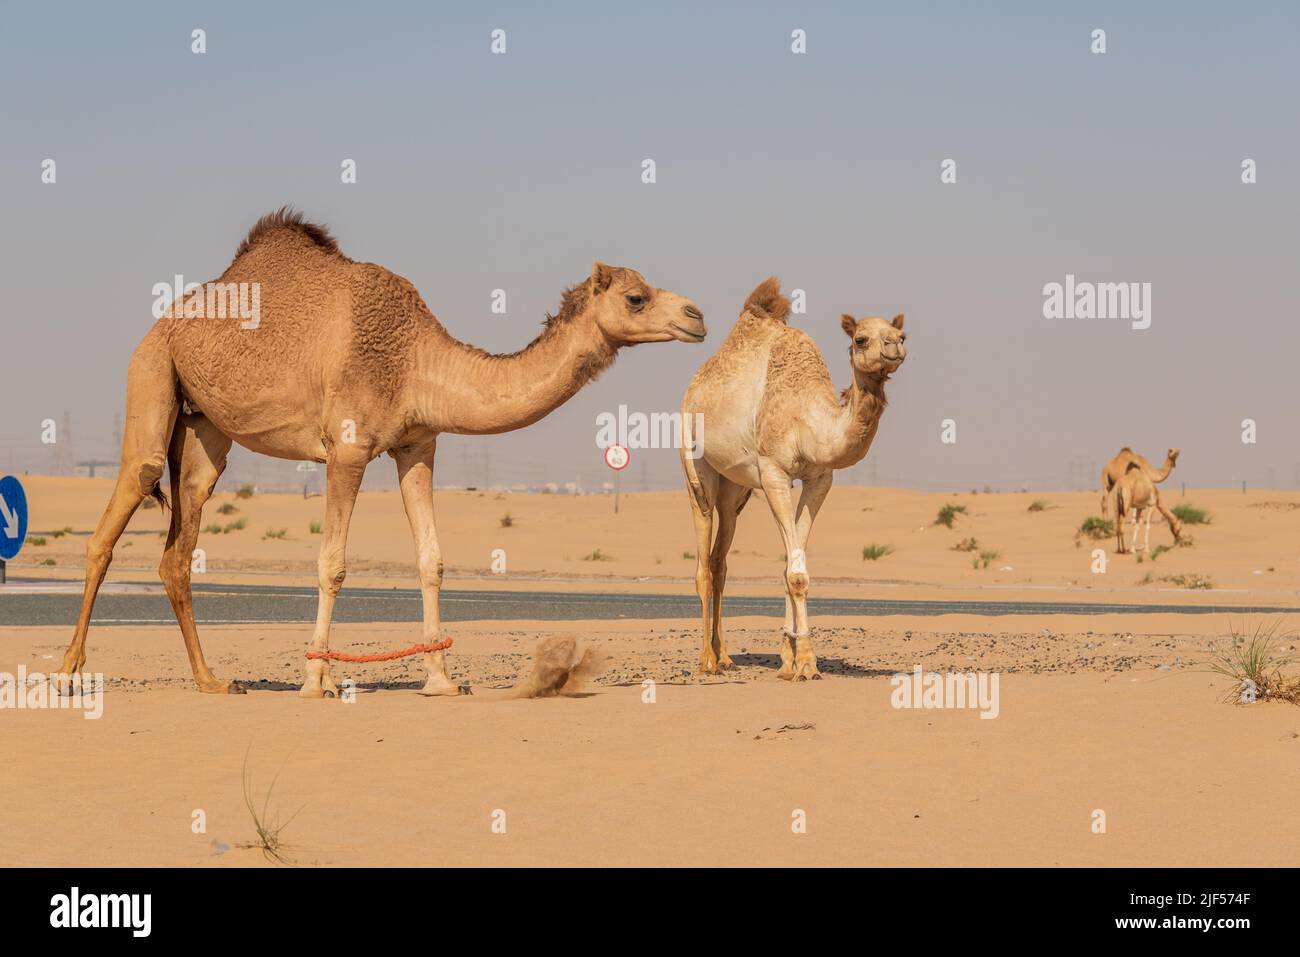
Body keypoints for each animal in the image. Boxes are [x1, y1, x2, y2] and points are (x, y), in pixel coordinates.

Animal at [52, 208, 705, 697]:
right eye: (637, 297)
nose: (697, 316)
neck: (414, 358)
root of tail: (172, 317)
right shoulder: (346, 448)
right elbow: (333, 563)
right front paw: (315, 679)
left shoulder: (417, 445)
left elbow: (431, 559)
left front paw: (441, 679)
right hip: (150, 368)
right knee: (122, 505)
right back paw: (69, 670)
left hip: (205, 427)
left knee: (179, 542)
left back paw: (213, 680)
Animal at [680, 278, 906, 679]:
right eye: (861, 338)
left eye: (901, 334)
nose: (894, 347)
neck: (808, 417)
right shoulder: (774, 473)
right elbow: (797, 574)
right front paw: (806, 663)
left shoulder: (820, 478)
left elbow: (790, 566)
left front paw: (790, 659)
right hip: (695, 464)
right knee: (703, 555)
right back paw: (706, 661)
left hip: (735, 489)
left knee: (720, 557)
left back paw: (725, 656)